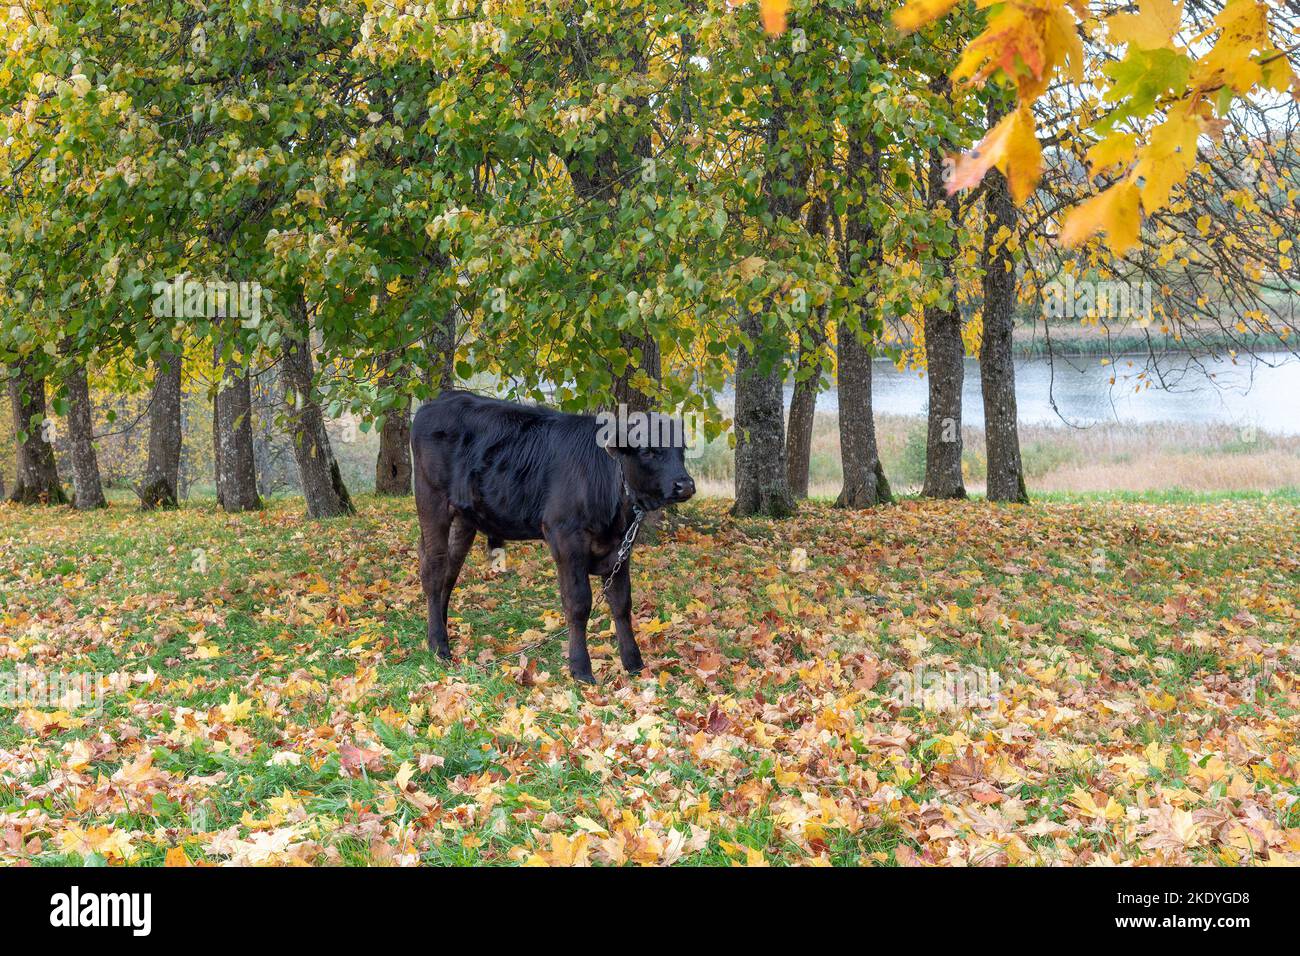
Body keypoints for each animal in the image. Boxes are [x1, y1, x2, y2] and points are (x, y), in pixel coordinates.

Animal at [412, 391, 695, 683]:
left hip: (464, 518)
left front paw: (634, 663)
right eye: (649, 451)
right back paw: (438, 645)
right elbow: (579, 603)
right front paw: (581, 668)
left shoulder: (620, 548)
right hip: (432, 502)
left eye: (681, 451)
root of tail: (444, 398)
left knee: (450, 572)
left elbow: (621, 603)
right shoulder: (565, 537)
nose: (685, 485)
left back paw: (441, 629)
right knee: (434, 570)